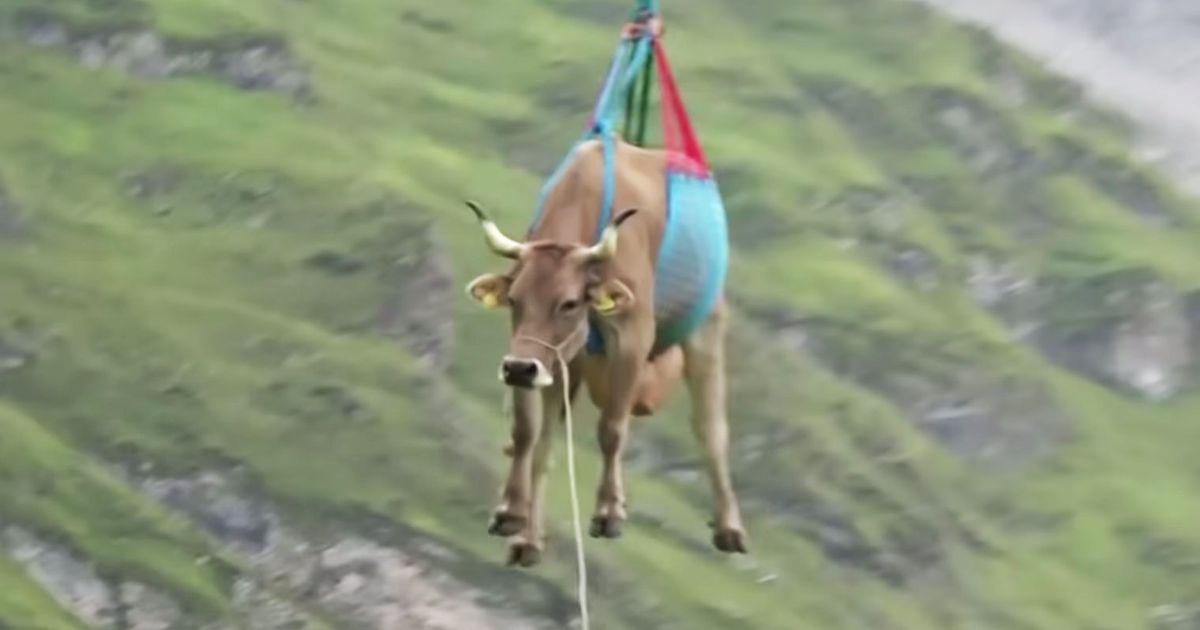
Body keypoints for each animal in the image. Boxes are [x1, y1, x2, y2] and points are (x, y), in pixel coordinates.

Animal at [463, 135, 747, 567]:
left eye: (568, 303)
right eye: (514, 299)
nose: (518, 369)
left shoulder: (631, 338)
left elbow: (612, 428)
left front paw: (609, 511)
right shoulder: (540, 357)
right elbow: (528, 432)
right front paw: (511, 514)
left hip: (706, 328)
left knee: (711, 428)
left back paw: (729, 526)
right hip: (569, 366)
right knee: (547, 440)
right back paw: (529, 540)